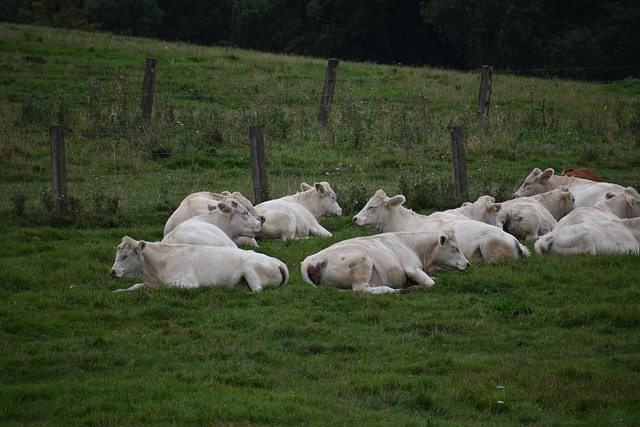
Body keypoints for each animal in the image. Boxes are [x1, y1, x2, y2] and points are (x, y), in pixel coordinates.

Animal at [110, 236, 289, 292]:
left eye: (125, 256)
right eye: (117, 254)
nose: (112, 271)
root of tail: (276, 261)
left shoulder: (188, 283)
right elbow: (134, 286)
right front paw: (119, 291)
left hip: (250, 270)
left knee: (258, 289)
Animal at [300, 230, 469, 294]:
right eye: (454, 248)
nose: (468, 263)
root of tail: (311, 259)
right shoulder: (411, 268)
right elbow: (430, 283)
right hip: (364, 262)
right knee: (362, 289)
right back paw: (393, 290)